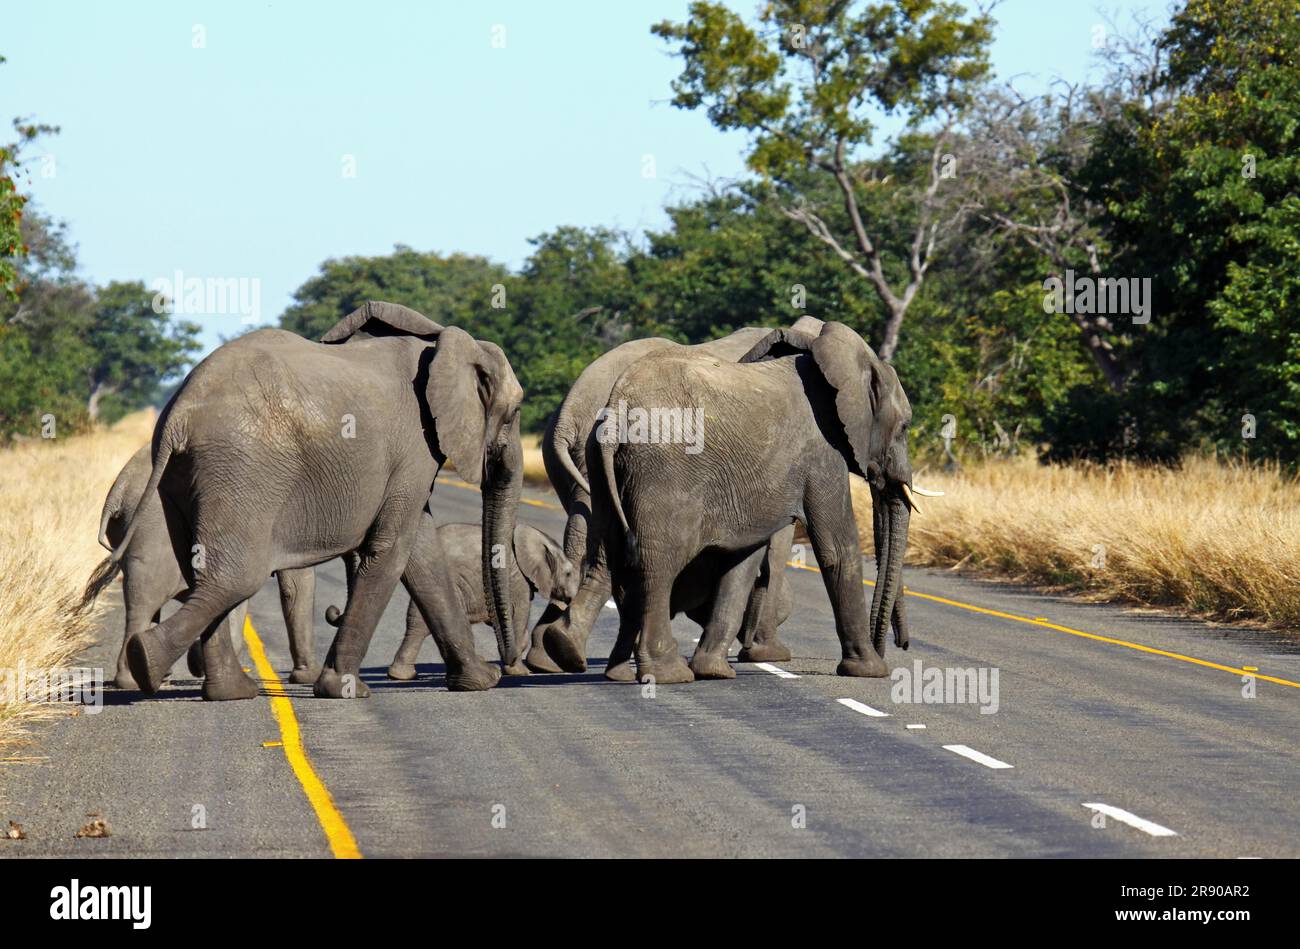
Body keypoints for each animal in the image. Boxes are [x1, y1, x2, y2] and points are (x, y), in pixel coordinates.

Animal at [323, 518, 580, 680]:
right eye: (568, 573)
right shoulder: (516, 579)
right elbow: (519, 615)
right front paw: (518, 672)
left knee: (419, 623)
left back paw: (402, 675)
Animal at [589, 320, 924, 684]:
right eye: (905, 427)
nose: (900, 645)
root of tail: (617, 409)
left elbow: (744, 557)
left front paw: (714, 671)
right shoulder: (821, 451)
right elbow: (838, 549)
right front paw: (871, 671)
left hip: (604, 472)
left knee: (614, 561)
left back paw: (619, 673)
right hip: (663, 470)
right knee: (657, 564)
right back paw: (668, 674)